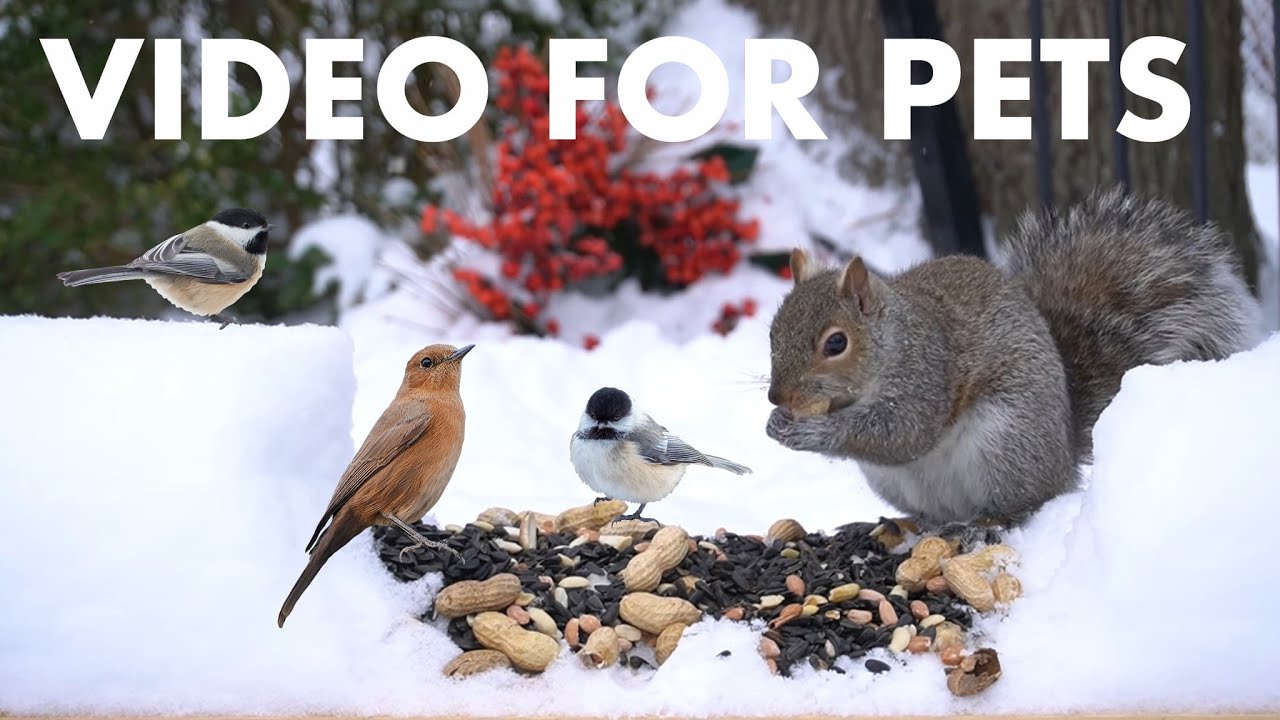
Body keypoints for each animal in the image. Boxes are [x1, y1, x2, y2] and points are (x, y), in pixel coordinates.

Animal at [765, 187, 1263, 535]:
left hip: (1005, 444)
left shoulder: (927, 375)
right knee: (931, 515)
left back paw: (986, 524)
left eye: (835, 344)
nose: (776, 396)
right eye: (772, 331)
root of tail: (1064, 458)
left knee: (1022, 504)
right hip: (897, 483)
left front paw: (817, 432)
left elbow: (903, 433)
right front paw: (775, 424)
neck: (893, 343)